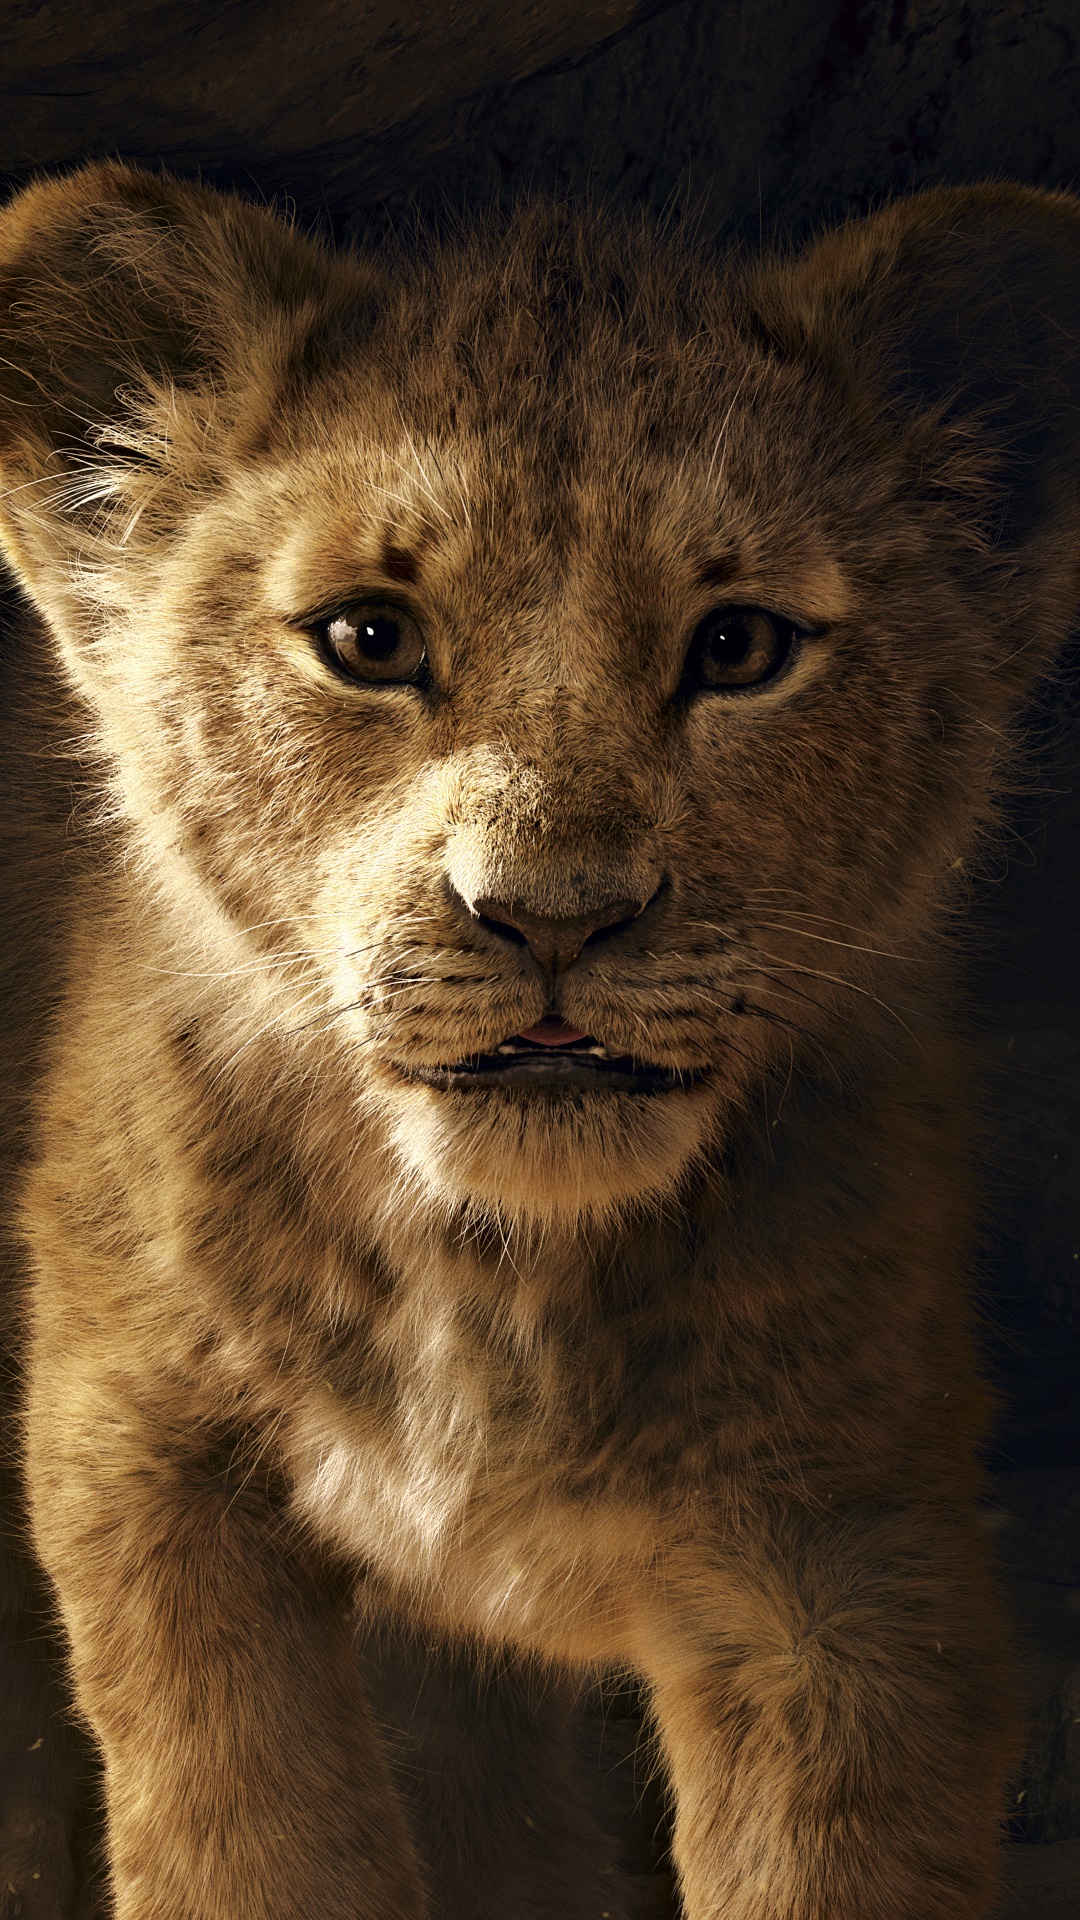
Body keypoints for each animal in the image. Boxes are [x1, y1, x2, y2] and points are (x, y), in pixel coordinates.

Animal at [1, 162, 1079, 1920]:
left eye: (738, 647)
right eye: (368, 640)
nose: (553, 917)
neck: (496, 1272)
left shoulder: (847, 1556)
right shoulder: (138, 1445)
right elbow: (246, 1828)